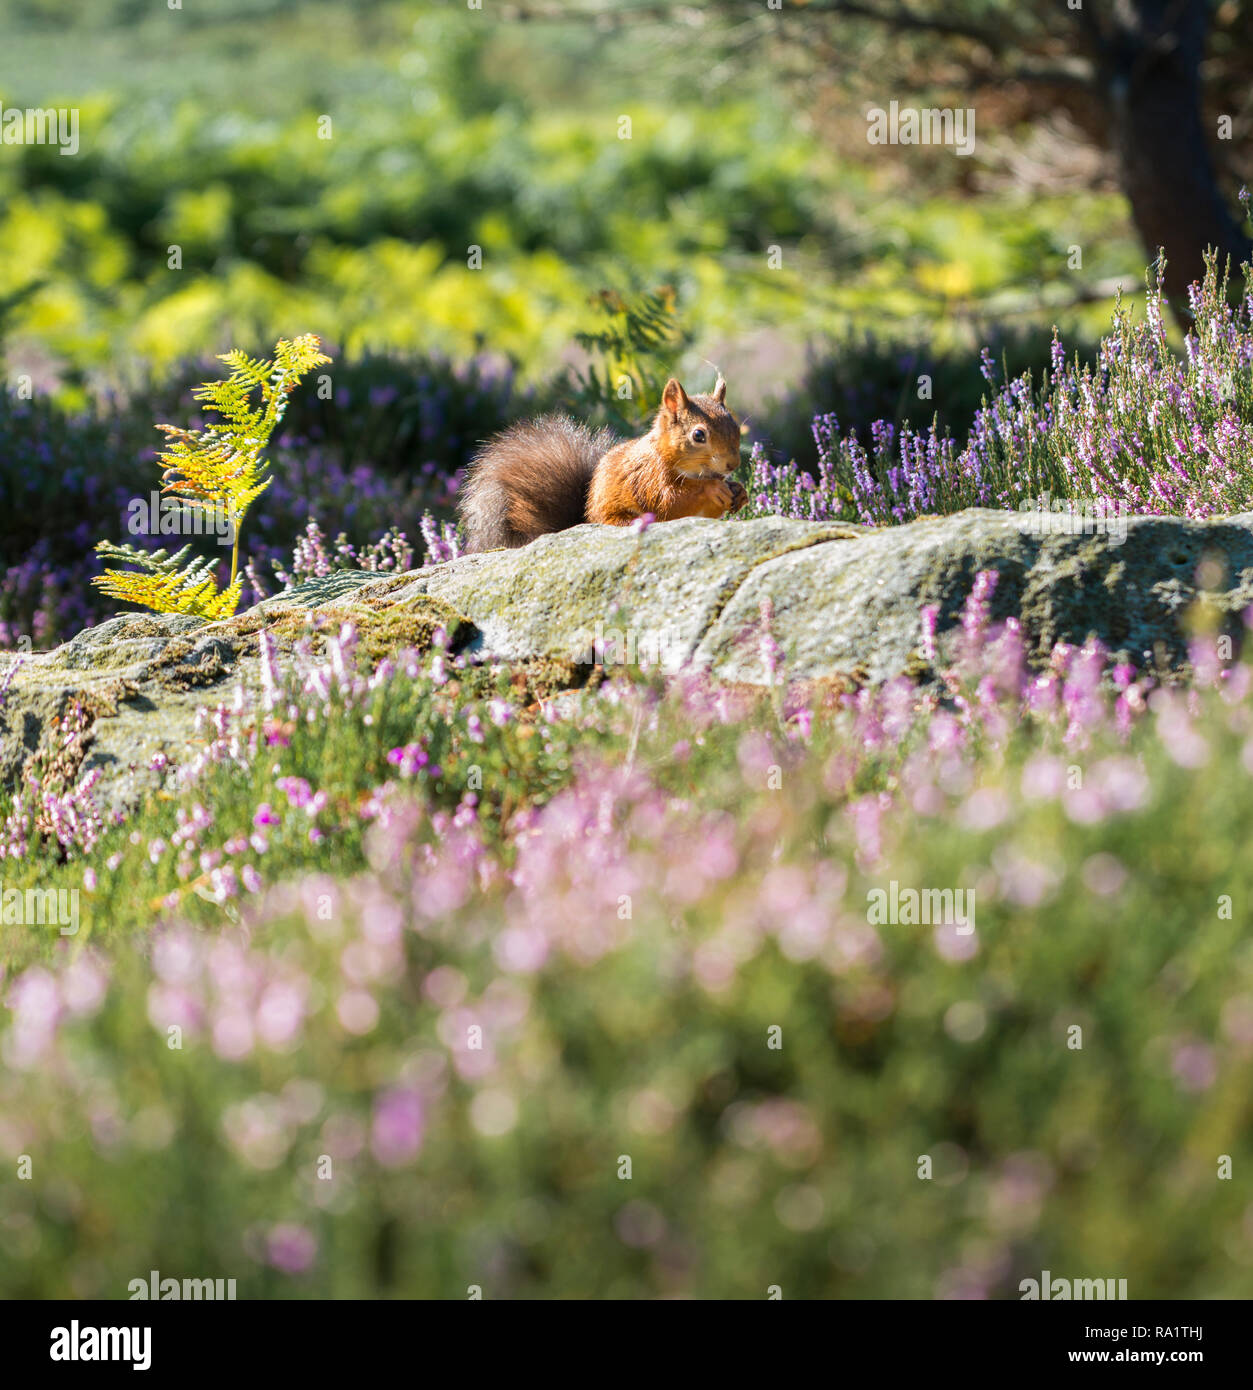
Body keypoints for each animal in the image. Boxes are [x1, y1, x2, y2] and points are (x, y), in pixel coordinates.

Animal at [458, 376, 749, 552]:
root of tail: (583, 521)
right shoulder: (648, 476)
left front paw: (740, 492)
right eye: (698, 435)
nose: (732, 464)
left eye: (736, 426)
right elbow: (669, 500)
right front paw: (713, 489)